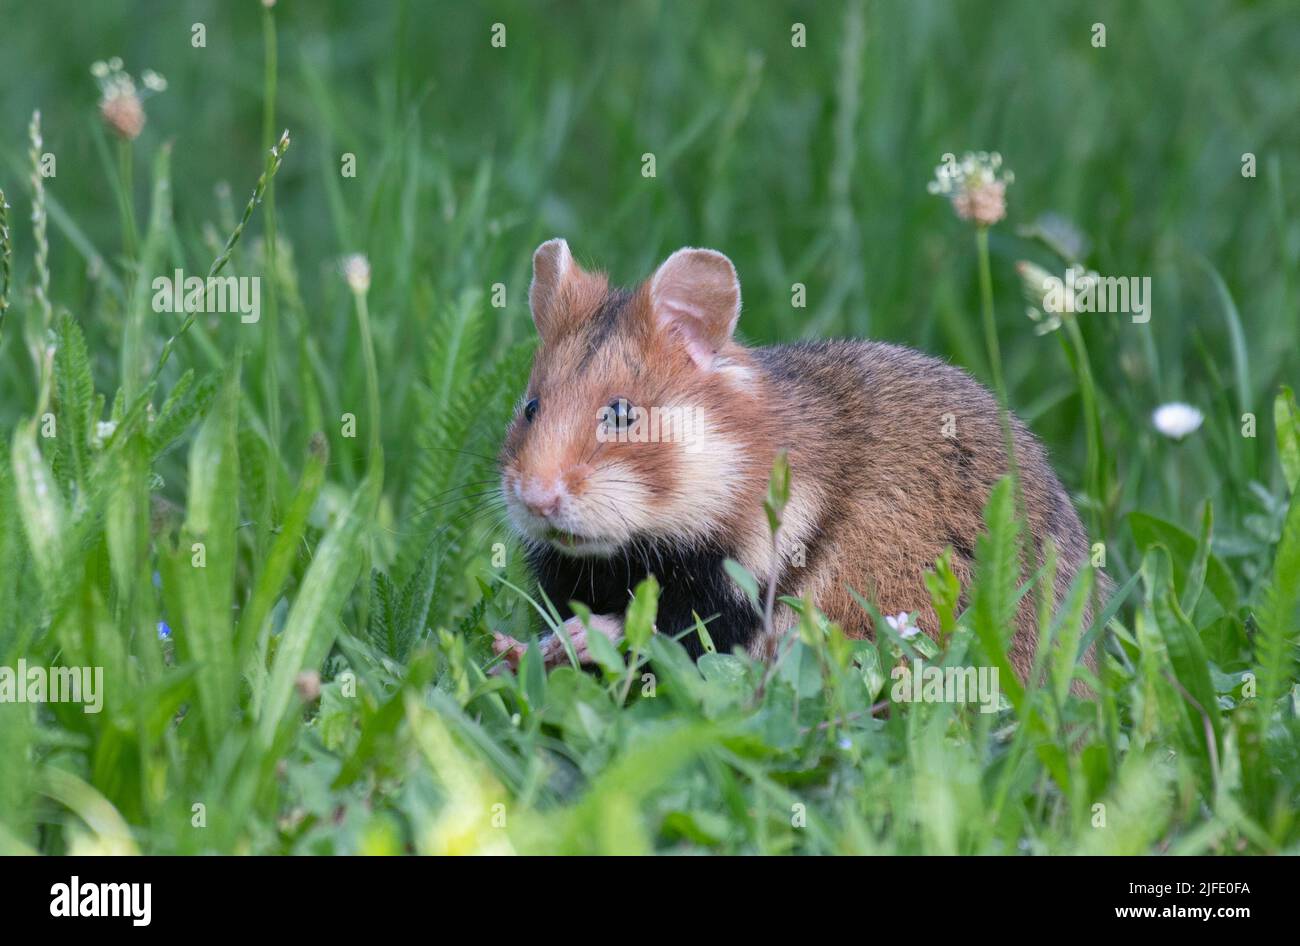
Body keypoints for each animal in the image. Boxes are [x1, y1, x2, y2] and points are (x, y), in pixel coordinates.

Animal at [492, 238, 1102, 680]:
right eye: (530, 407)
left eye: (621, 414)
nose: (536, 499)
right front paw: (514, 648)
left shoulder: (737, 588)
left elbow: (658, 630)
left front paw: (566, 639)